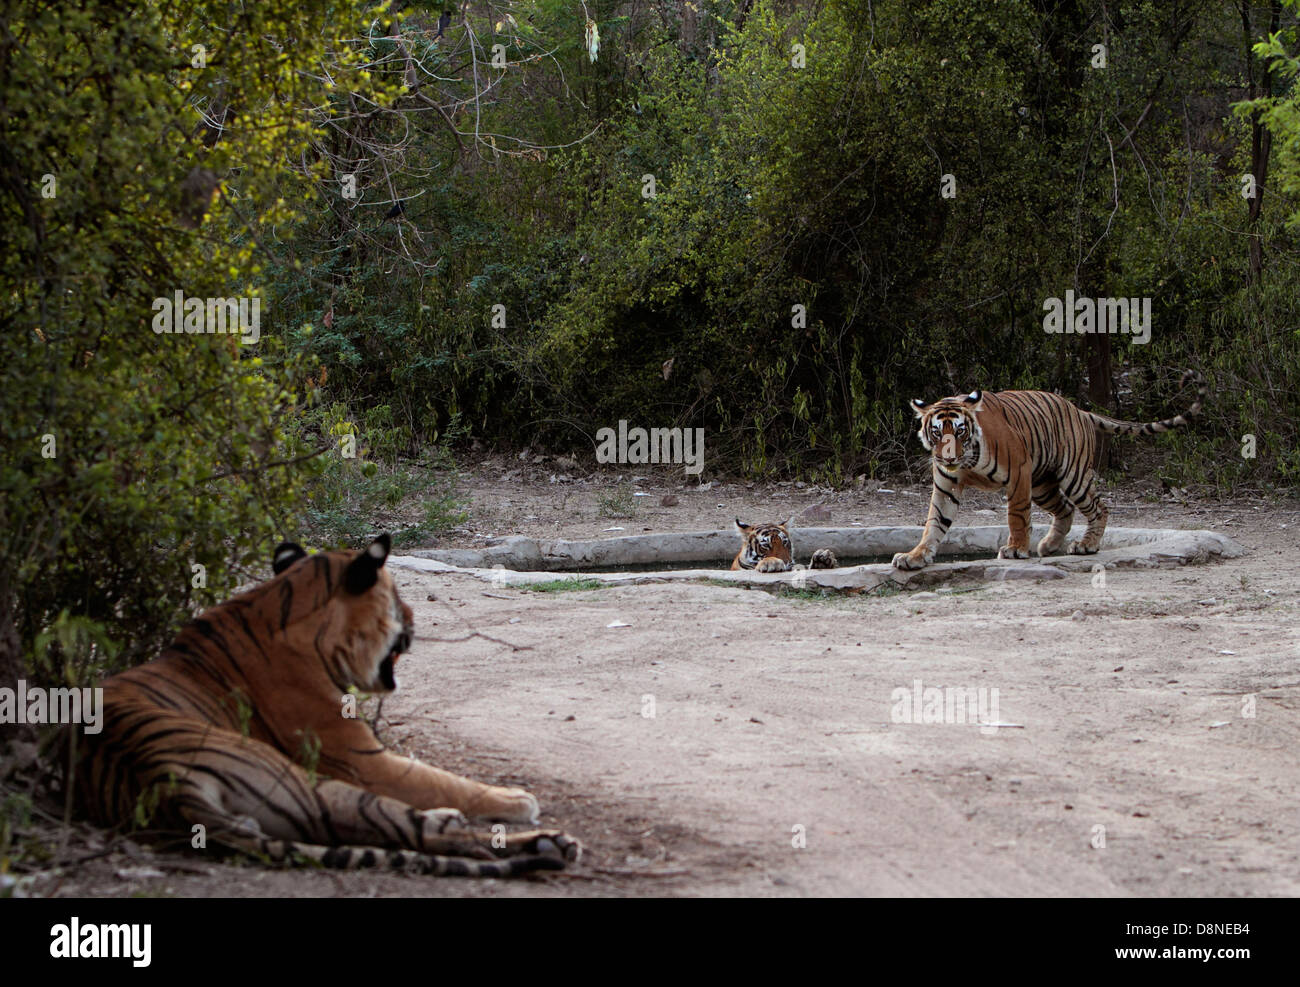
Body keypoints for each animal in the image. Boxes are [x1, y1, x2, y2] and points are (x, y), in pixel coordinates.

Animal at [73, 534, 581, 877]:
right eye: (397, 598)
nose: (415, 618)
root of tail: (162, 783)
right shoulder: (363, 760)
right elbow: (441, 778)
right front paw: (516, 798)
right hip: (311, 783)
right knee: (424, 831)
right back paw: (549, 843)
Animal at [891, 373, 1205, 571]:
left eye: (959, 431)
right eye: (936, 432)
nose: (949, 457)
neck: (967, 462)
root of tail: (1081, 410)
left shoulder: (1018, 473)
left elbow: (1017, 515)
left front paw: (1016, 549)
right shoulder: (947, 487)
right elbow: (934, 524)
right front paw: (914, 557)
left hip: (1072, 475)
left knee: (1098, 508)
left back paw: (1086, 545)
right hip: (1043, 484)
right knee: (1065, 509)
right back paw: (1049, 546)